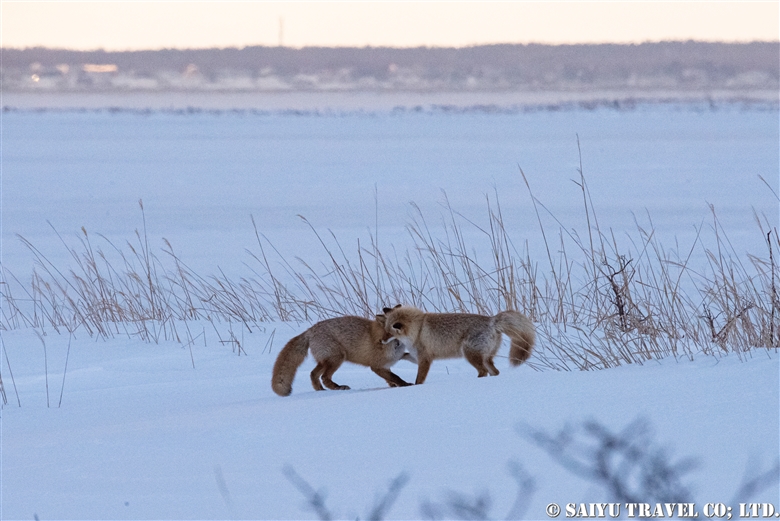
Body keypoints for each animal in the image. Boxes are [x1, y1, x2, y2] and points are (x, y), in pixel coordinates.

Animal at [271, 315, 415, 396]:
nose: (381, 341)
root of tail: (309, 330)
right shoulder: (376, 366)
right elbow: (395, 377)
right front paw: (406, 385)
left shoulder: (387, 364)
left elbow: (391, 378)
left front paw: (394, 386)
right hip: (337, 358)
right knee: (324, 377)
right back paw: (338, 388)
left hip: (325, 361)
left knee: (313, 374)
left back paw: (320, 390)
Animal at [377, 304, 536, 385]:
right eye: (384, 330)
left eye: (388, 333)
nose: (381, 341)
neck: (419, 329)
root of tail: (492, 320)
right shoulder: (418, 357)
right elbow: (405, 355)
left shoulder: (425, 359)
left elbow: (419, 380)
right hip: (485, 358)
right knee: (494, 372)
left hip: (470, 354)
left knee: (483, 372)